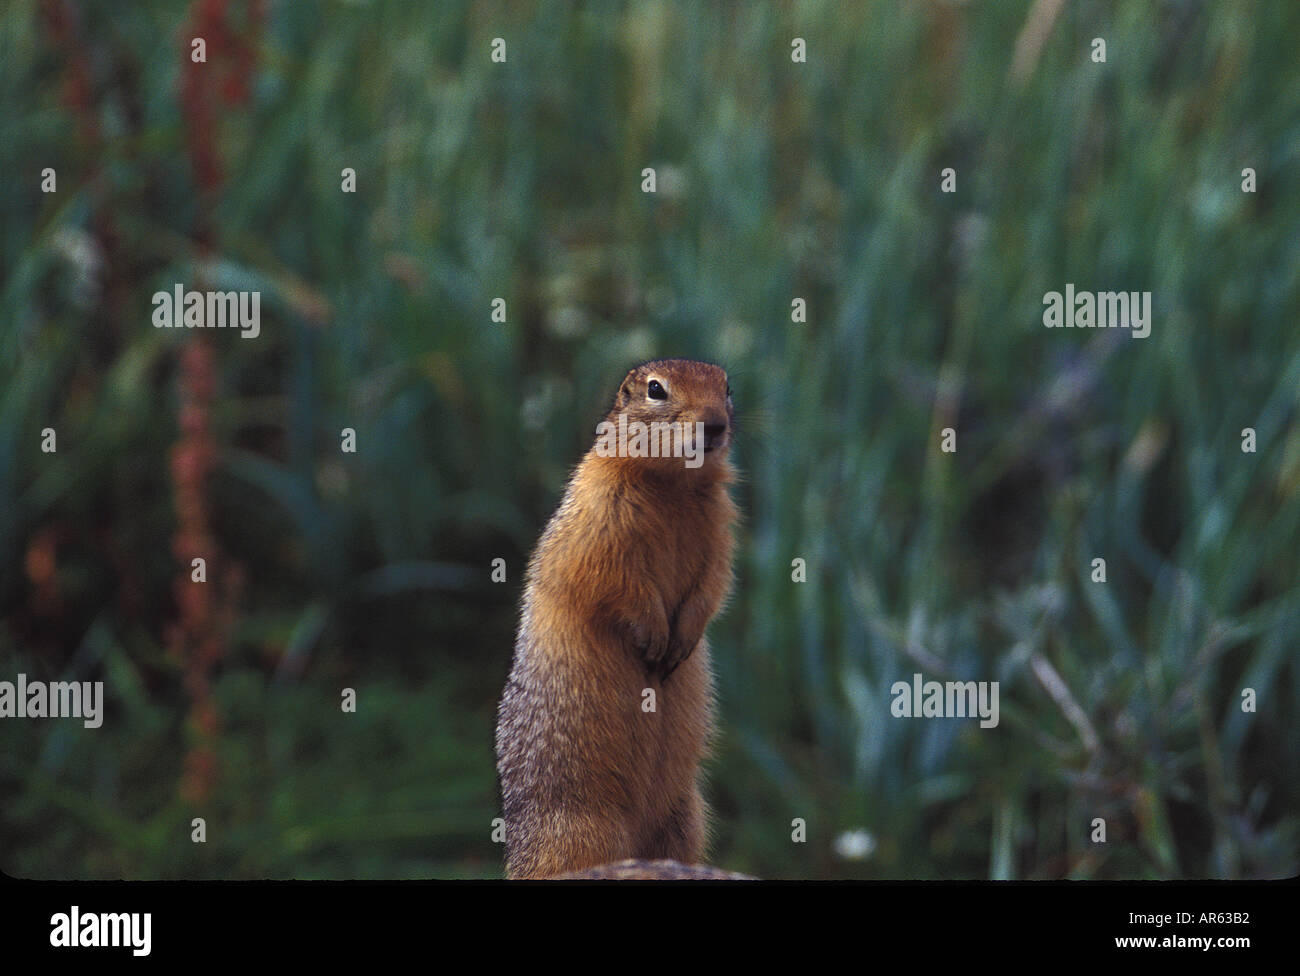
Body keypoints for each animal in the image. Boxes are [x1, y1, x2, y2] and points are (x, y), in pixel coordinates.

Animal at [495, 359, 738, 880]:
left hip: (685, 816)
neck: (673, 485)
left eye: (727, 388)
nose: (714, 425)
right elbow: (613, 578)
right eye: (656, 390)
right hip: (584, 826)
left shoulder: (721, 523)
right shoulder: (602, 510)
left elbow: (714, 580)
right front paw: (654, 636)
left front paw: (682, 638)